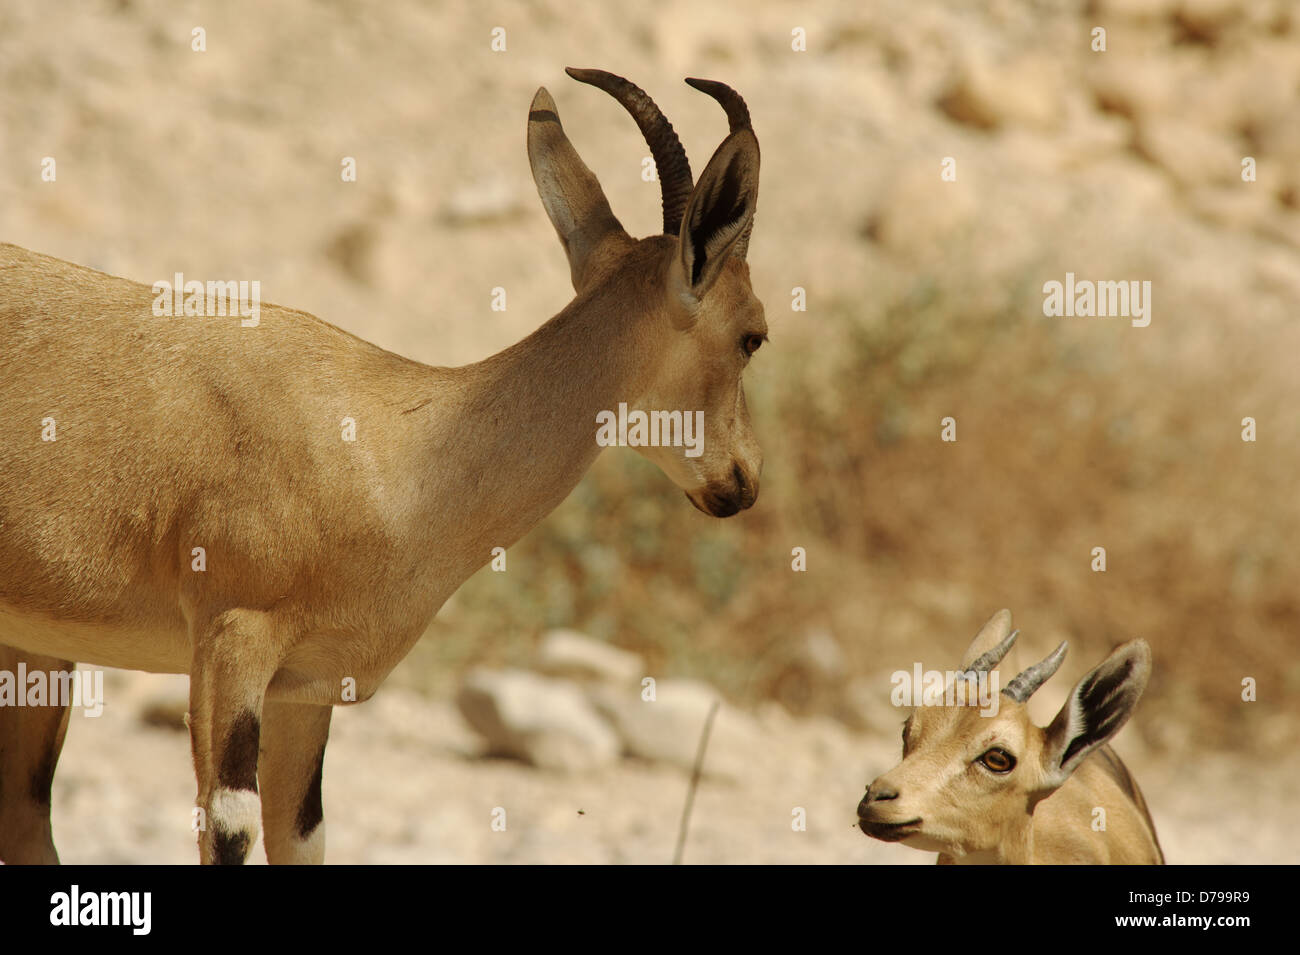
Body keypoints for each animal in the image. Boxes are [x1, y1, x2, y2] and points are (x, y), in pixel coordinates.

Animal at [0, 68, 766, 864]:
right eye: (753, 336)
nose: (742, 481)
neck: (398, 447)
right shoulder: (230, 644)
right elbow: (230, 827)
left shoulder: (303, 689)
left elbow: (301, 835)